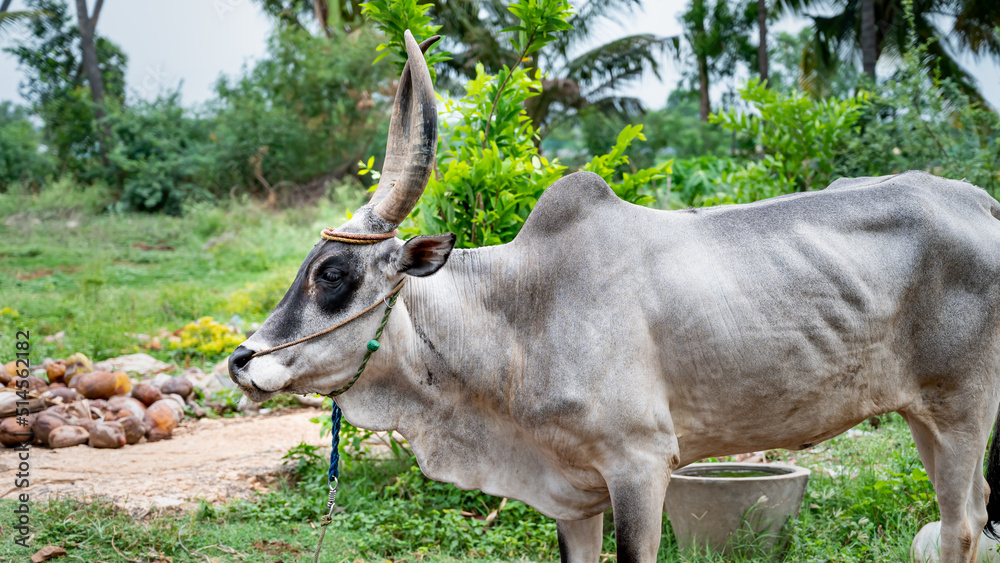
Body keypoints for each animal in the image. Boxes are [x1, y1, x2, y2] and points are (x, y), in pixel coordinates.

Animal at [228, 30, 1000, 563]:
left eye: (333, 273)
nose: (241, 361)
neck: (519, 319)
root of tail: (978, 201)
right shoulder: (571, 498)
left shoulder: (641, 465)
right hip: (923, 415)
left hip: (963, 409)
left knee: (960, 527)